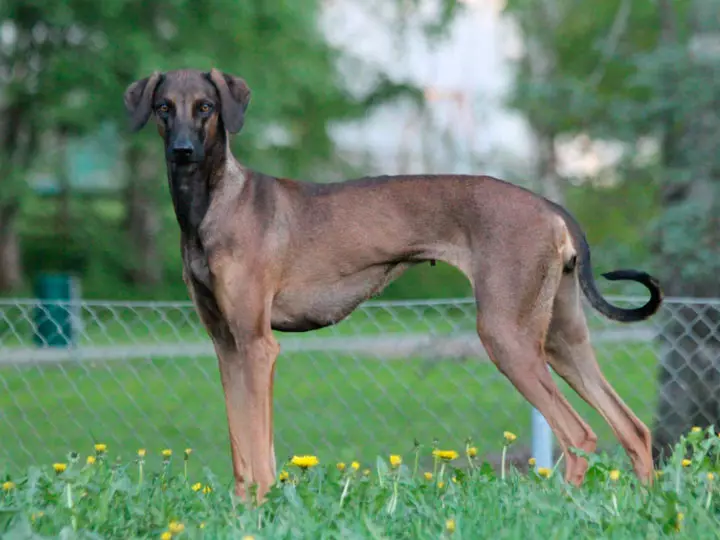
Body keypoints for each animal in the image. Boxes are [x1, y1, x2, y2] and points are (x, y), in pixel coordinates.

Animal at [124, 67, 664, 502]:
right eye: (164, 107)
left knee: (580, 436)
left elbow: (258, 453)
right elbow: (243, 449)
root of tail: (550, 207)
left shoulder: (257, 347)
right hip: (559, 339)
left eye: (206, 107)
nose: (183, 152)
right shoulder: (227, 347)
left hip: (507, 337)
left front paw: (259, 511)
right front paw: (242, 512)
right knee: (633, 430)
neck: (213, 206)